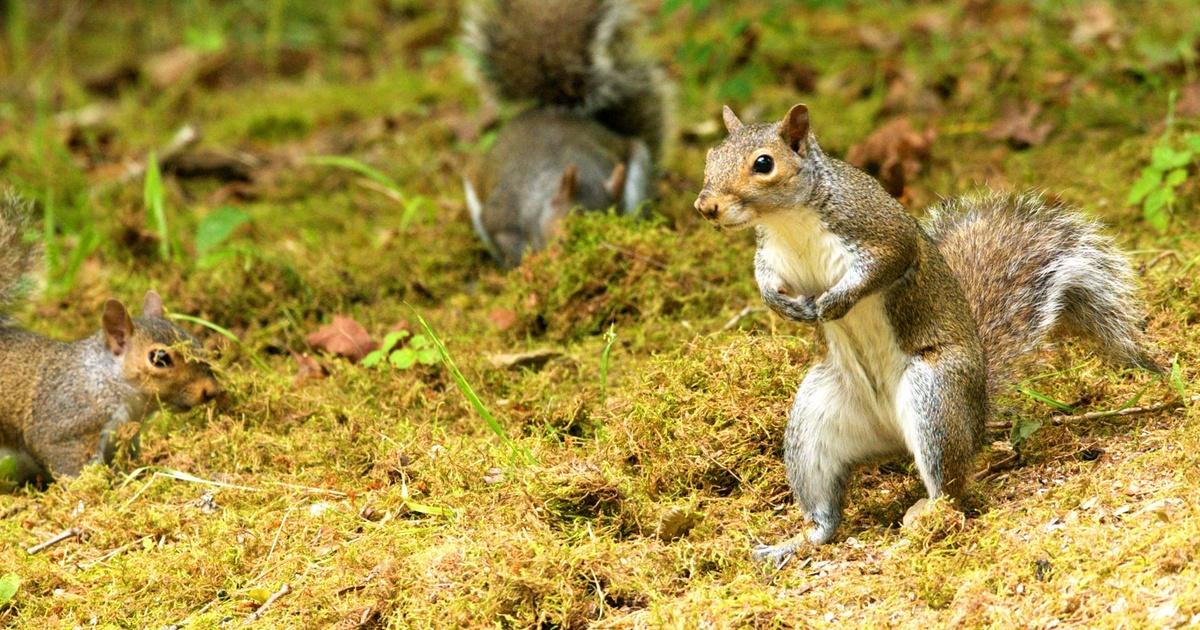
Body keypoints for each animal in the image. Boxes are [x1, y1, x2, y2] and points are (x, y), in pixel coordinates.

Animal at [0, 192, 221, 485]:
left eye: (195, 341)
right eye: (160, 359)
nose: (211, 390)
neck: (106, 380)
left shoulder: (124, 433)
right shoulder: (67, 424)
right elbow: (66, 461)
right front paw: (92, 488)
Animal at [695, 104, 1164, 564]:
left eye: (763, 163)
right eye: (711, 156)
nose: (707, 206)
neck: (788, 221)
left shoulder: (880, 230)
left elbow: (884, 264)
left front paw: (834, 303)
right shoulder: (771, 256)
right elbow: (765, 283)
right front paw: (788, 307)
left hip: (936, 395)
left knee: (950, 490)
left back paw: (925, 522)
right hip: (813, 423)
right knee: (825, 511)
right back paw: (795, 543)